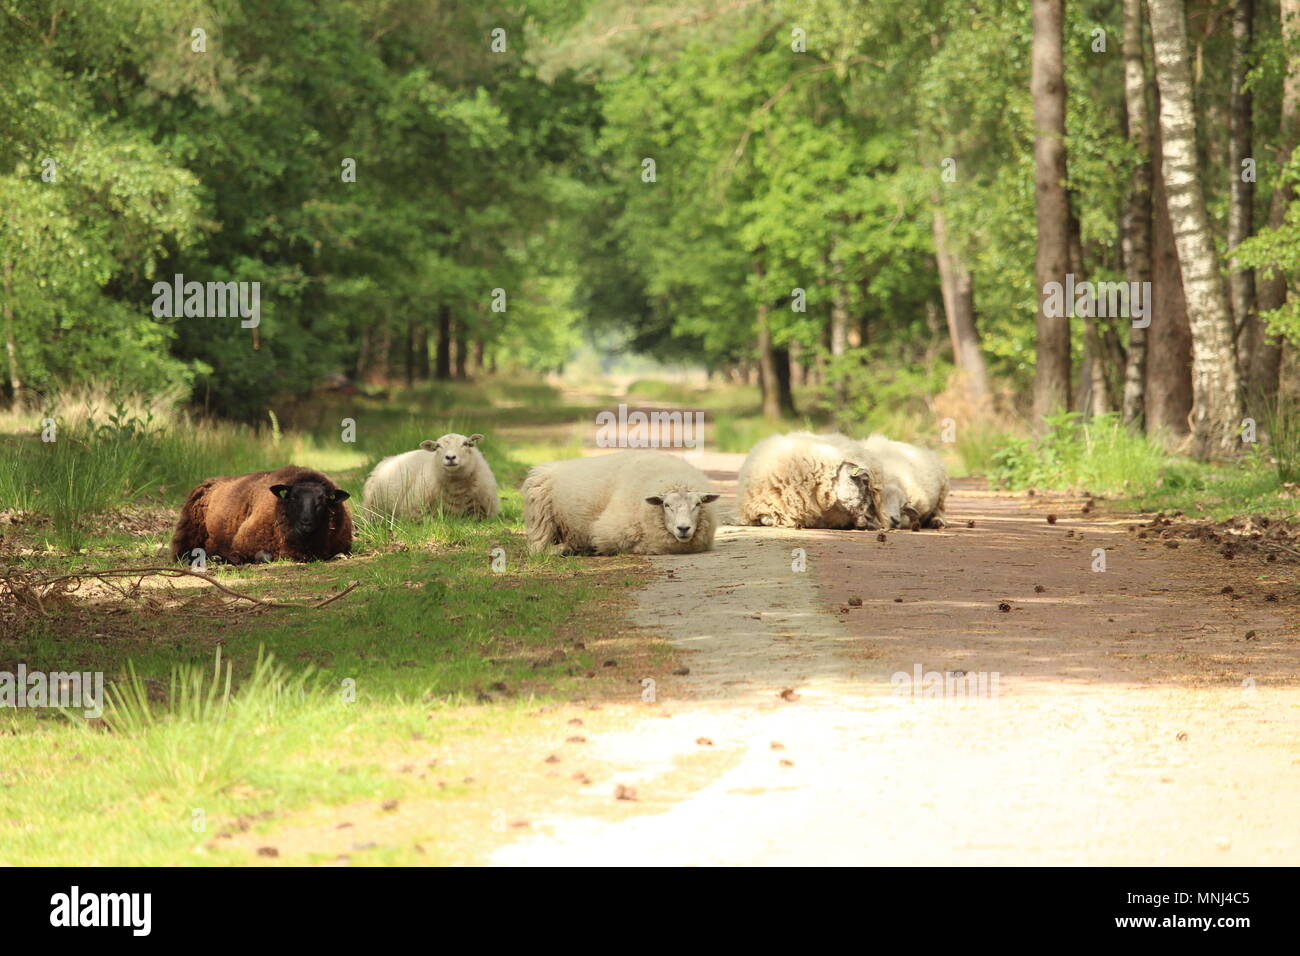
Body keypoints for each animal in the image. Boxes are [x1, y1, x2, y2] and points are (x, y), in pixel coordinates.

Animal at [170, 466, 353, 564]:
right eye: (293, 498)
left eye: (323, 501)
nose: (305, 523)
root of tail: (211, 481)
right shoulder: (243, 541)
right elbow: (263, 556)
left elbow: (341, 554)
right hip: (189, 534)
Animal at [362, 432, 499, 520]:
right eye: (438, 446)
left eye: (466, 443)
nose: (450, 457)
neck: (457, 488)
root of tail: (387, 458)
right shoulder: (413, 513)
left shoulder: (484, 512)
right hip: (373, 509)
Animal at [522, 451, 720, 556]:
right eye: (666, 505)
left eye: (698, 504)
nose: (683, 528)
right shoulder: (608, 531)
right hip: (540, 519)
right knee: (536, 548)